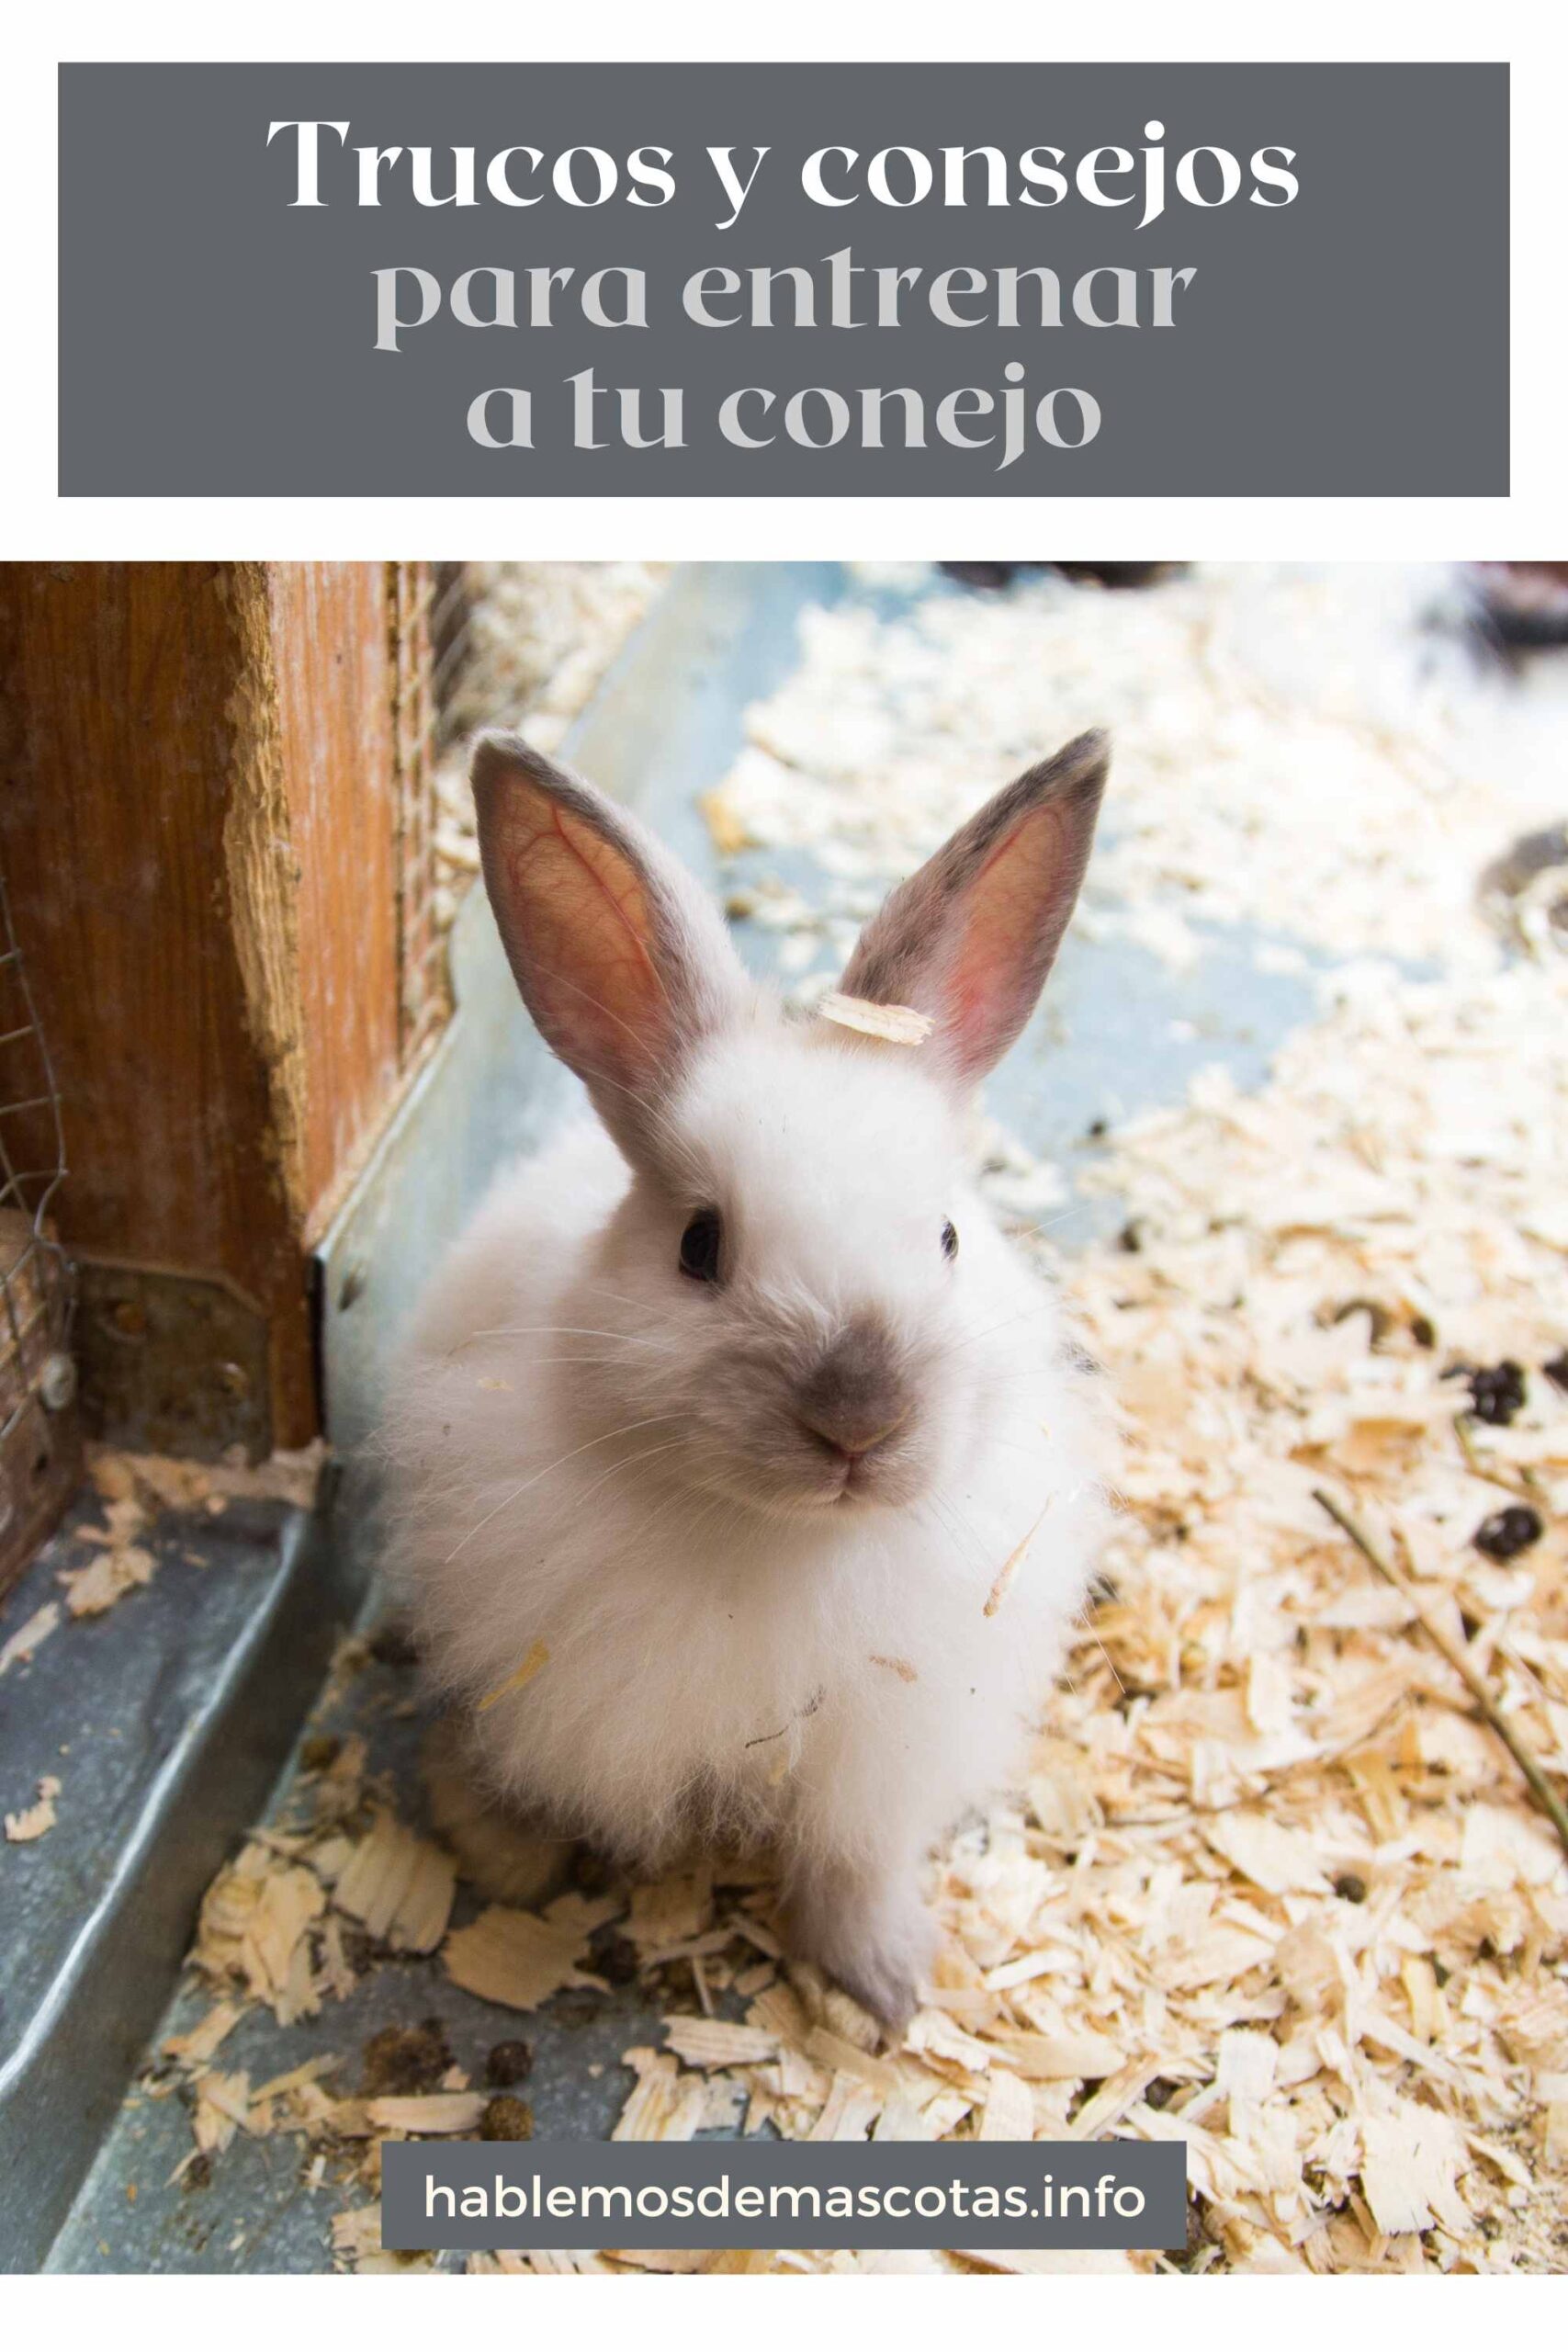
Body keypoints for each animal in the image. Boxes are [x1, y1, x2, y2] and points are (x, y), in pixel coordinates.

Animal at [385, 725, 1114, 2032]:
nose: (858, 1420)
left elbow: (852, 1864)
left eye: (947, 1237)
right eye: (699, 1245)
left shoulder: (880, 1757)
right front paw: (509, 1861)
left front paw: (887, 1985)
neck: (785, 1546)